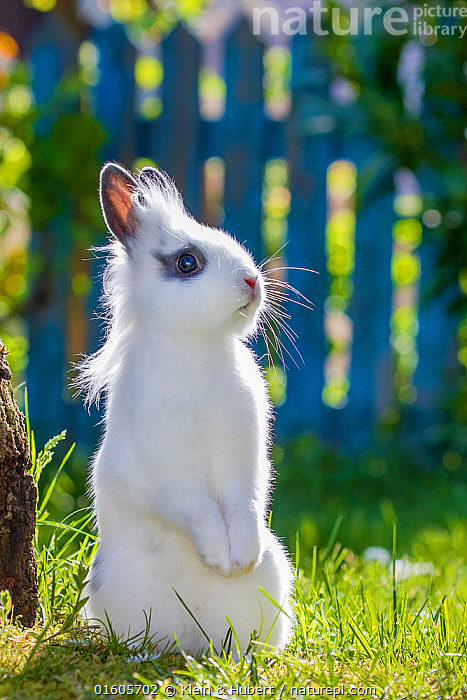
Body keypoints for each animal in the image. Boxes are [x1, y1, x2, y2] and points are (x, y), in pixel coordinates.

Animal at [79, 162, 294, 656]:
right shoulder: (166, 472)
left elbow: (245, 500)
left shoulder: (245, 457)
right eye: (187, 263)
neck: (198, 349)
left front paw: (240, 557)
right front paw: (218, 556)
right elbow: (196, 508)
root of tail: (192, 641)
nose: (252, 281)